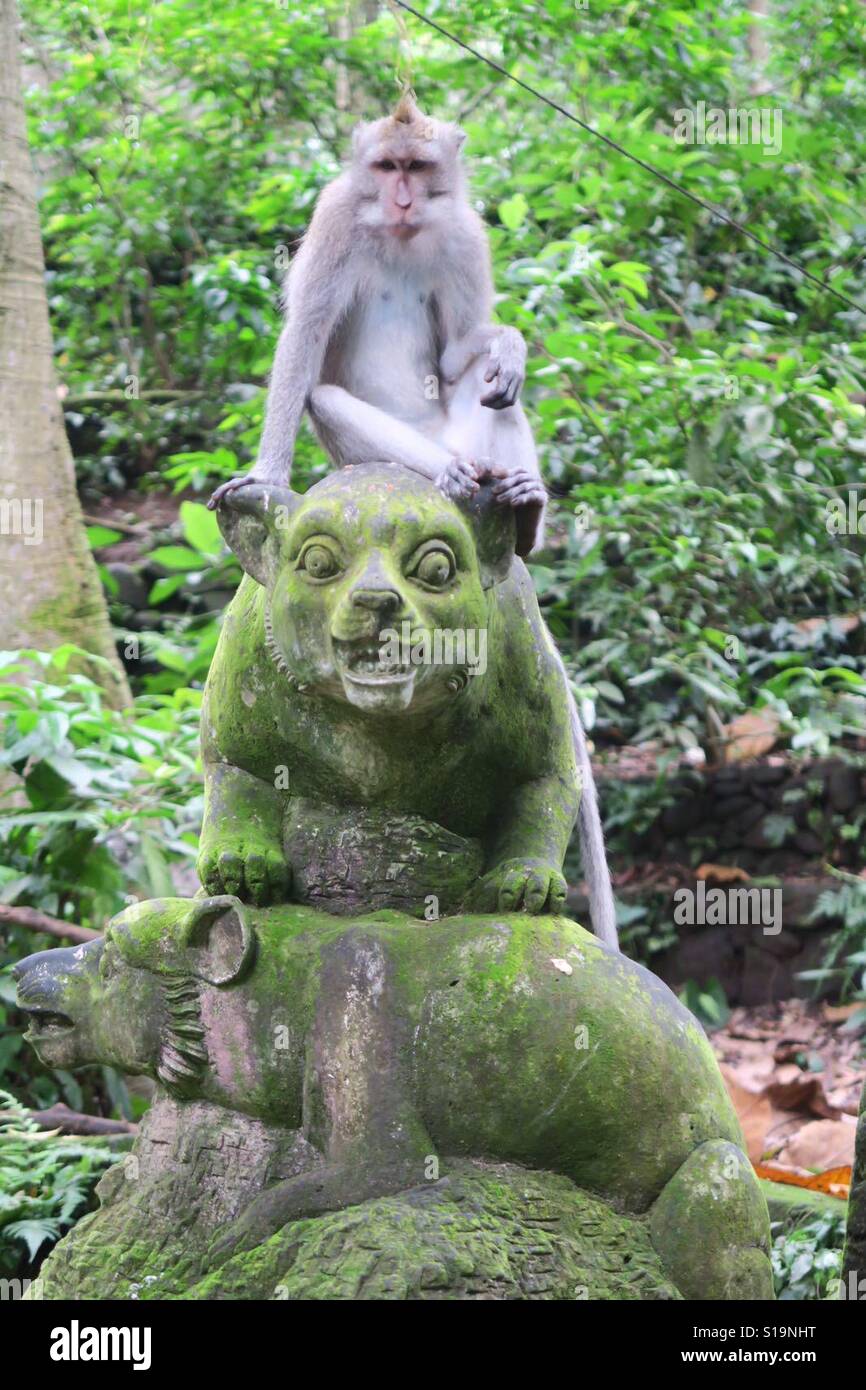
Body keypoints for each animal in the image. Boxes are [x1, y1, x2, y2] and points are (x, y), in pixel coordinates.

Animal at [208, 92, 546, 557]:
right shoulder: (334, 217)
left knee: (490, 377)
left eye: (417, 166)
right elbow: (306, 330)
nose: (402, 202)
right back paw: (450, 471)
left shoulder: (466, 235)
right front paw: (266, 475)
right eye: (386, 166)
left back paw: (527, 509)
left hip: (471, 442)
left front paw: (511, 344)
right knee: (327, 400)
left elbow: (455, 355)